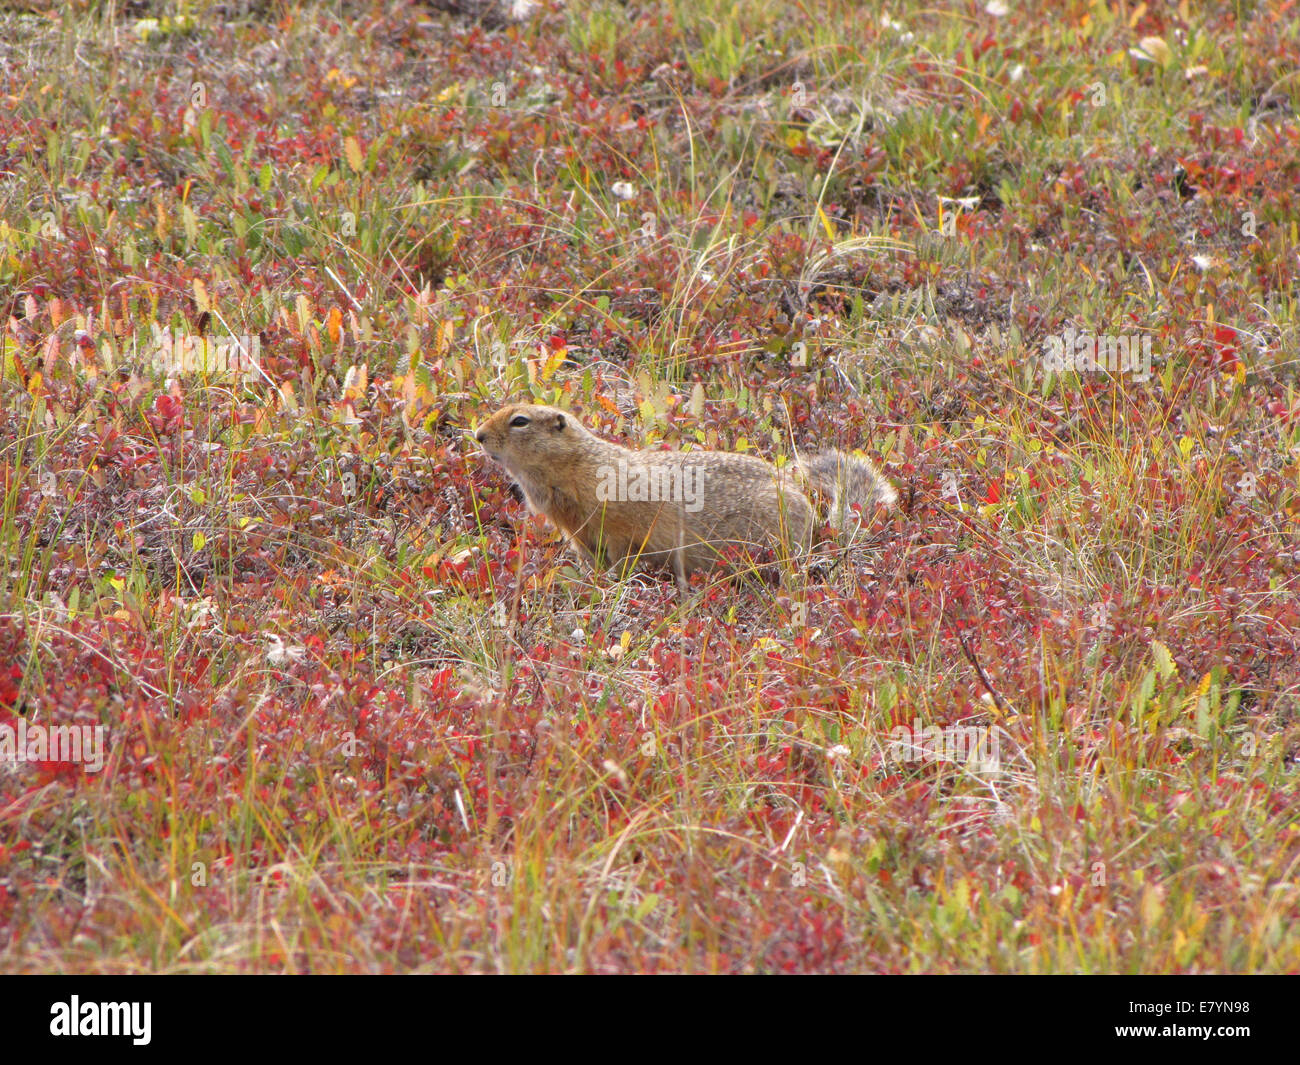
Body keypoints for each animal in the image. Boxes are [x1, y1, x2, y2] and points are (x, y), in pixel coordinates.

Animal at [473, 402, 897, 593]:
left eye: (520, 421)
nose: (477, 434)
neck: (572, 466)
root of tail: (818, 528)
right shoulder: (577, 533)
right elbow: (587, 558)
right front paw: (587, 577)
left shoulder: (618, 524)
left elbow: (619, 553)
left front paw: (611, 580)